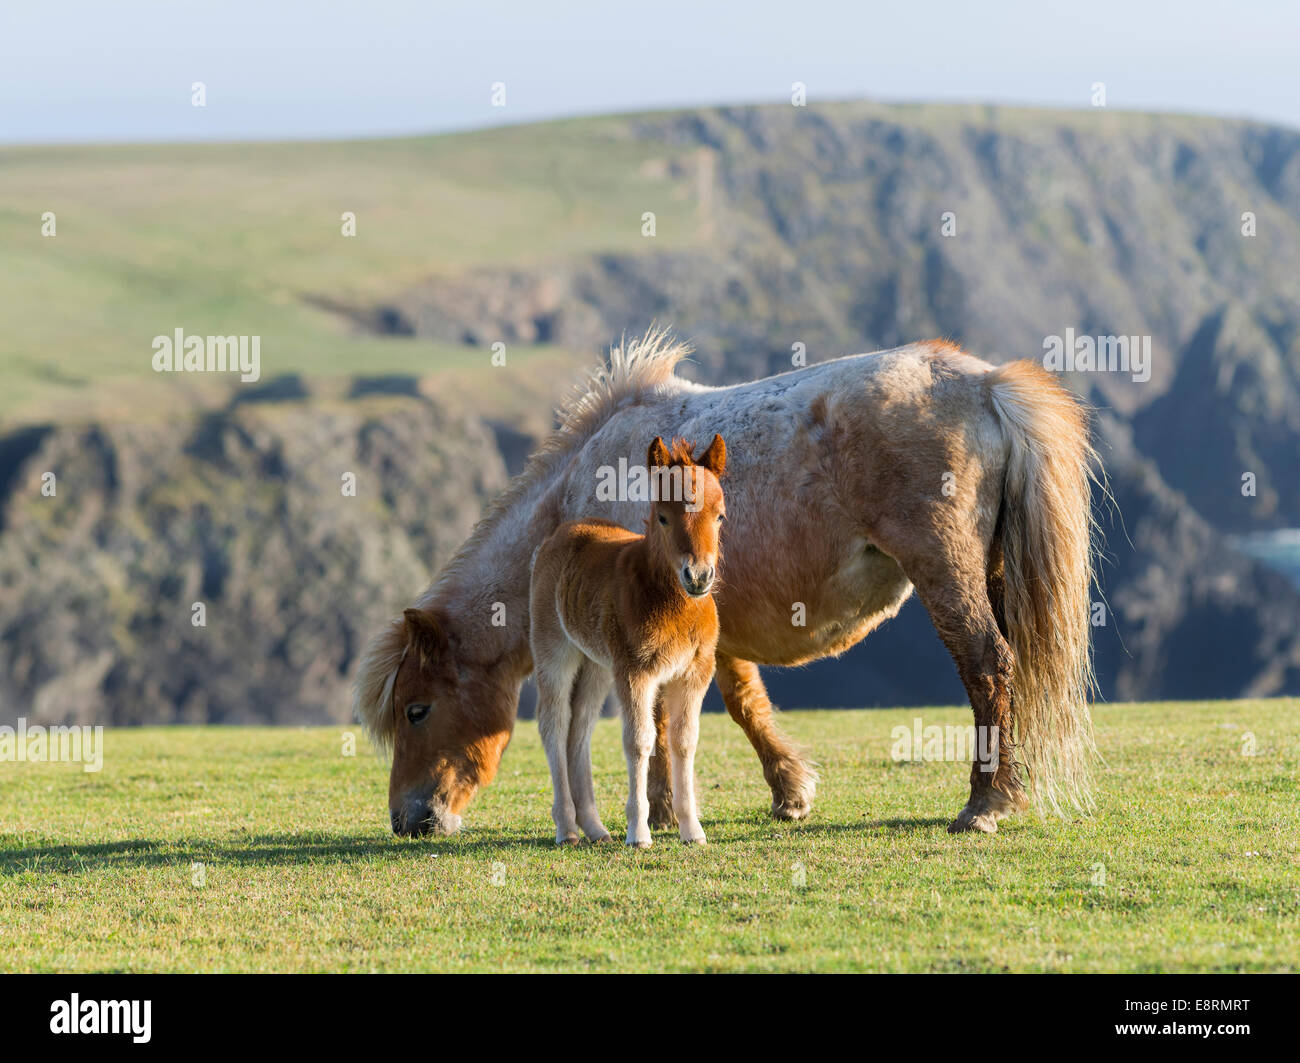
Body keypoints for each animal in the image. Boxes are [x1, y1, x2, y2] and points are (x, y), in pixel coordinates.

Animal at [530, 434, 727, 847]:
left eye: (719, 516)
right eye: (663, 517)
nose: (698, 577)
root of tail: (560, 533)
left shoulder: (695, 672)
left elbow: (684, 740)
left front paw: (692, 830)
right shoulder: (637, 672)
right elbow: (639, 741)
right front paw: (638, 832)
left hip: (598, 664)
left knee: (580, 726)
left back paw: (595, 827)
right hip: (555, 648)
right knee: (554, 721)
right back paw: (566, 828)